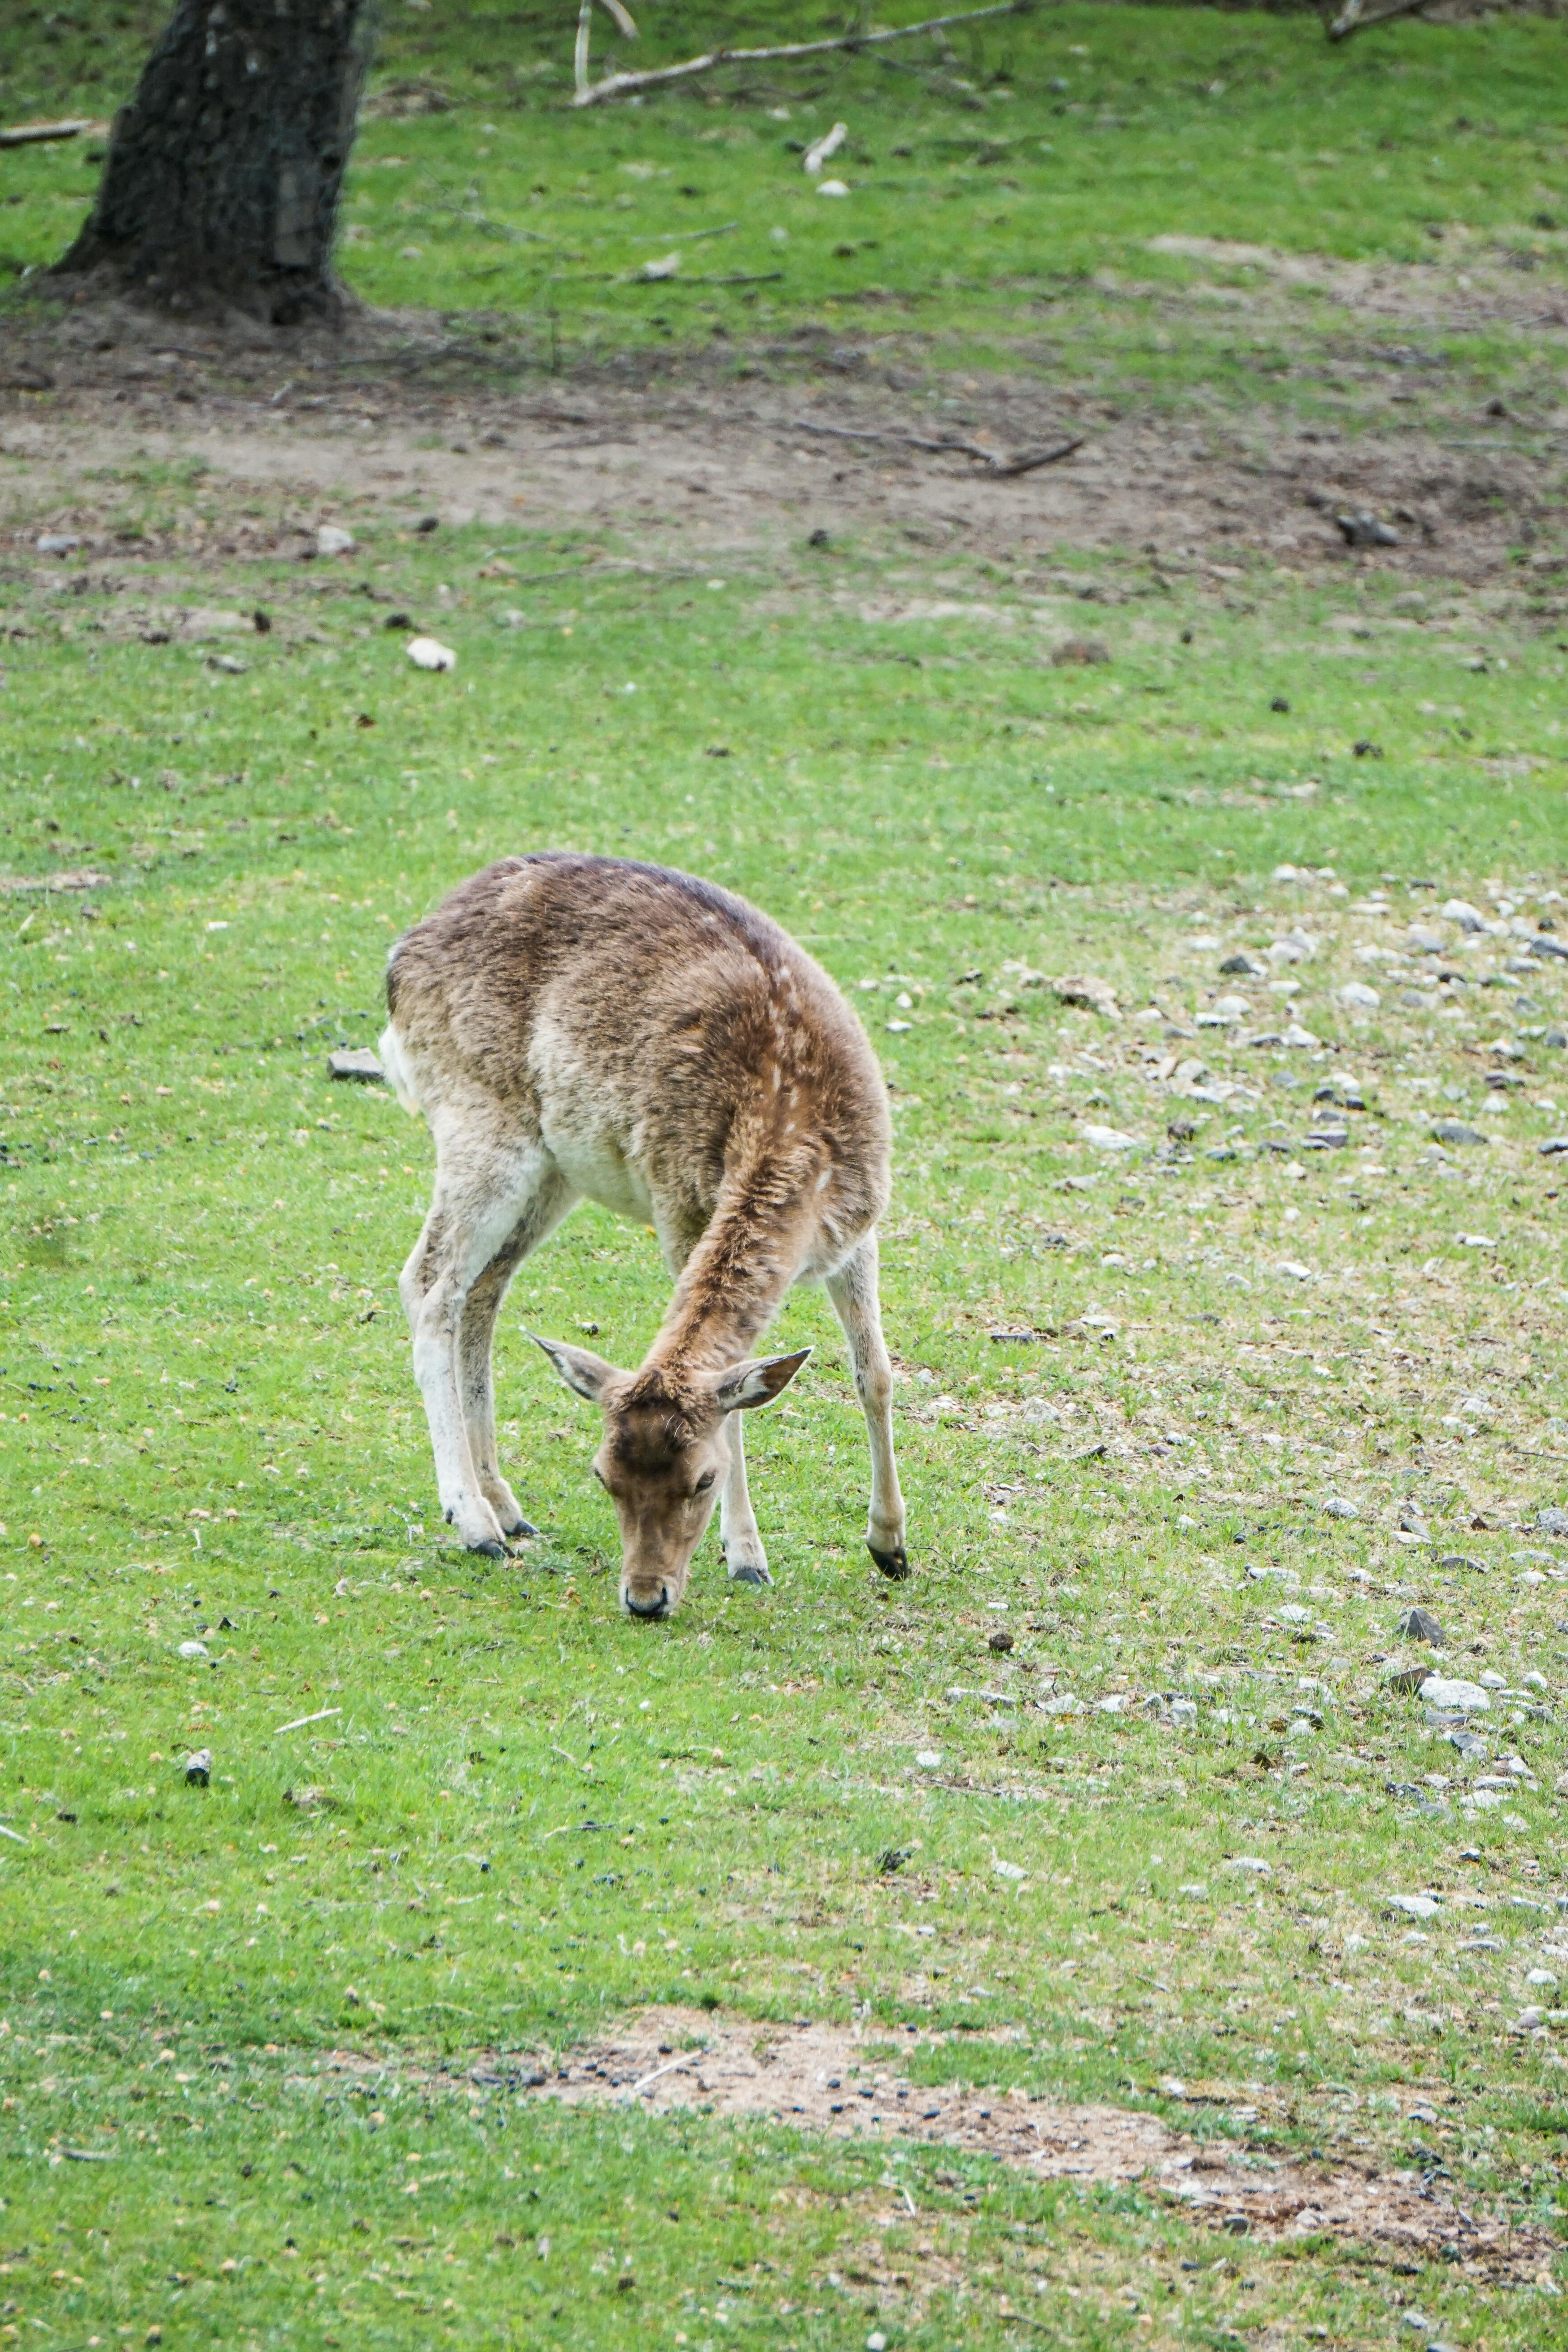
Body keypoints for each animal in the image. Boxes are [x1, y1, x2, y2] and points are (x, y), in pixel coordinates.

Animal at [379, 853, 909, 1620]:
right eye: (602, 1475)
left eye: (698, 1479)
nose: (644, 1597)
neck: (788, 1114)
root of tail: (398, 961)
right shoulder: (680, 1206)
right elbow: (735, 1399)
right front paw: (748, 1558)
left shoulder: (857, 1229)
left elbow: (875, 1374)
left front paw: (890, 1546)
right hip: (476, 1118)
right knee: (428, 1282)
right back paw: (474, 1522)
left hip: (552, 1167)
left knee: (482, 1291)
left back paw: (506, 1505)